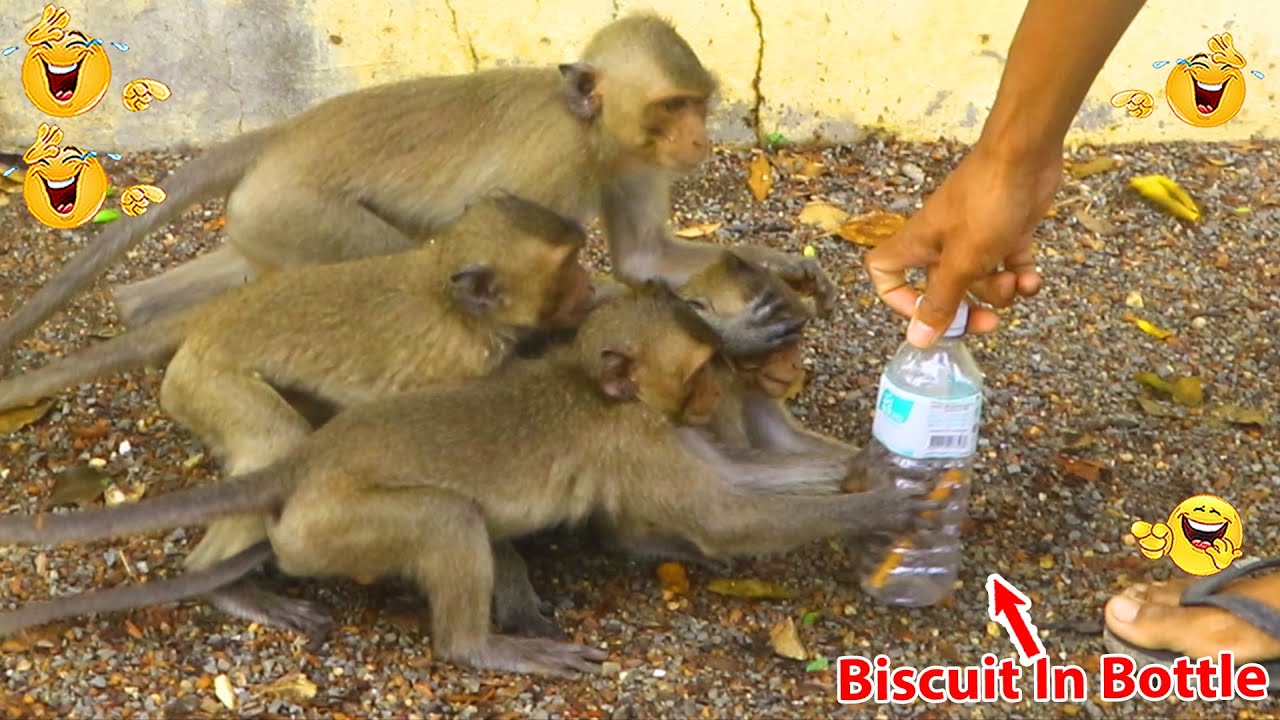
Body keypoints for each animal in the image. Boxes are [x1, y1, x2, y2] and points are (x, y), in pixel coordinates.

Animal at [0, 13, 833, 361]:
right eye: (671, 108)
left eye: (697, 103)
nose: (697, 139)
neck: (589, 124)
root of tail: (282, 133)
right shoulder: (556, 164)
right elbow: (551, 294)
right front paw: (737, 329)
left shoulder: (627, 159)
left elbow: (644, 261)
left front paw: (778, 266)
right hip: (304, 208)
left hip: (268, 214)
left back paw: (140, 313)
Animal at [0, 193, 600, 635]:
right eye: (568, 267)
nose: (590, 285)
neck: (444, 292)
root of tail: (217, 312)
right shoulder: (467, 368)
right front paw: (518, 596)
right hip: (206, 378)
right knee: (279, 443)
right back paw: (223, 585)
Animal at [0, 284, 929, 677]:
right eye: (696, 371)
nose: (712, 394)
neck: (600, 392)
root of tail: (313, 459)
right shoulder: (636, 441)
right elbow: (725, 518)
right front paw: (888, 501)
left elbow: (743, 479)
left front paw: (866, 467)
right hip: (333, 527)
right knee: (447, 520)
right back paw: (480, 644)